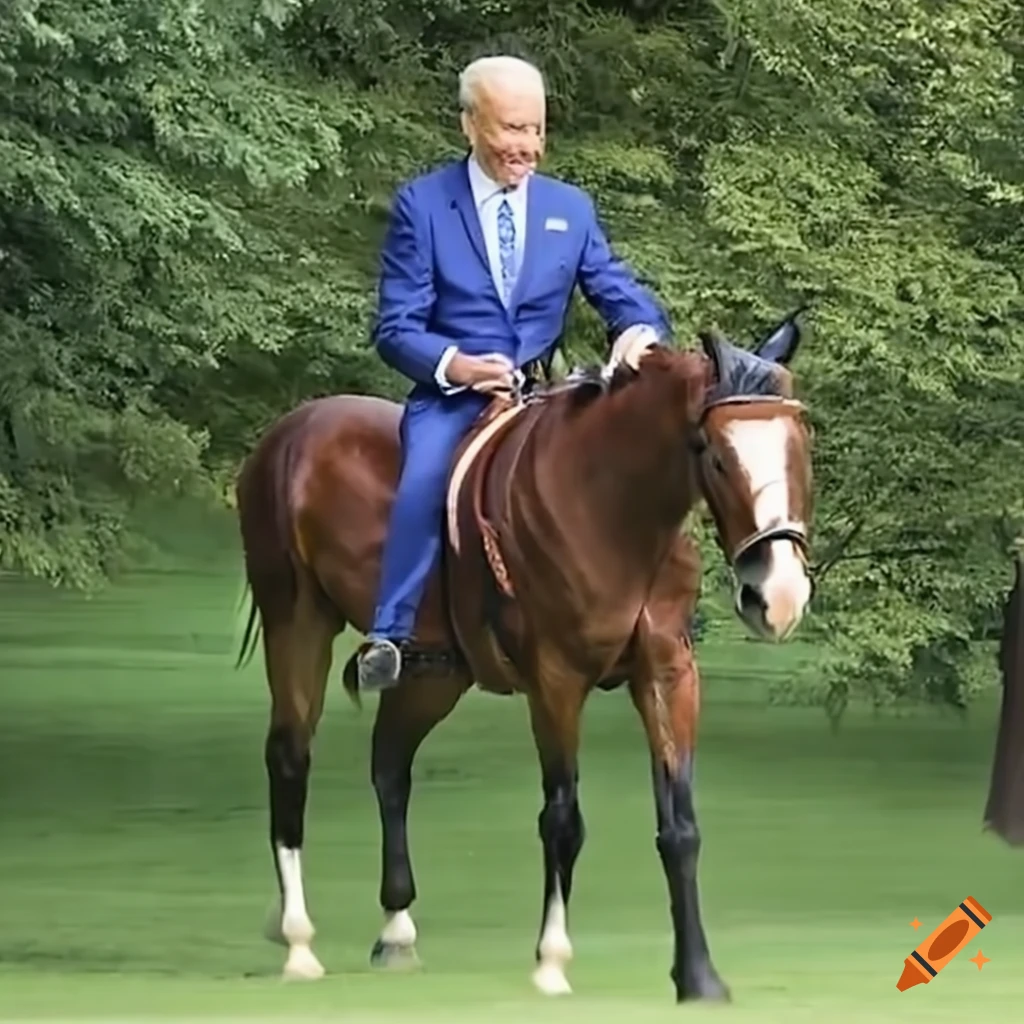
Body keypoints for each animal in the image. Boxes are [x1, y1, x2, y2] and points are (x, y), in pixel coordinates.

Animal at [234, 314, 815, 1002]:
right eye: (716, 456)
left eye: (801, 449)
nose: (777, 596)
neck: (612, 508)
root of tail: (293, 430)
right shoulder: (557, 680)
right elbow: (562, 818)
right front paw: (552, 962)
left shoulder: (669, 675)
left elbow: (681, 827)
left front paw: (697, 976)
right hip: (297, 625)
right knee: (290, 758)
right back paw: (298, 942)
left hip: (433, 675)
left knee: (390, 765)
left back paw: (397, 931)